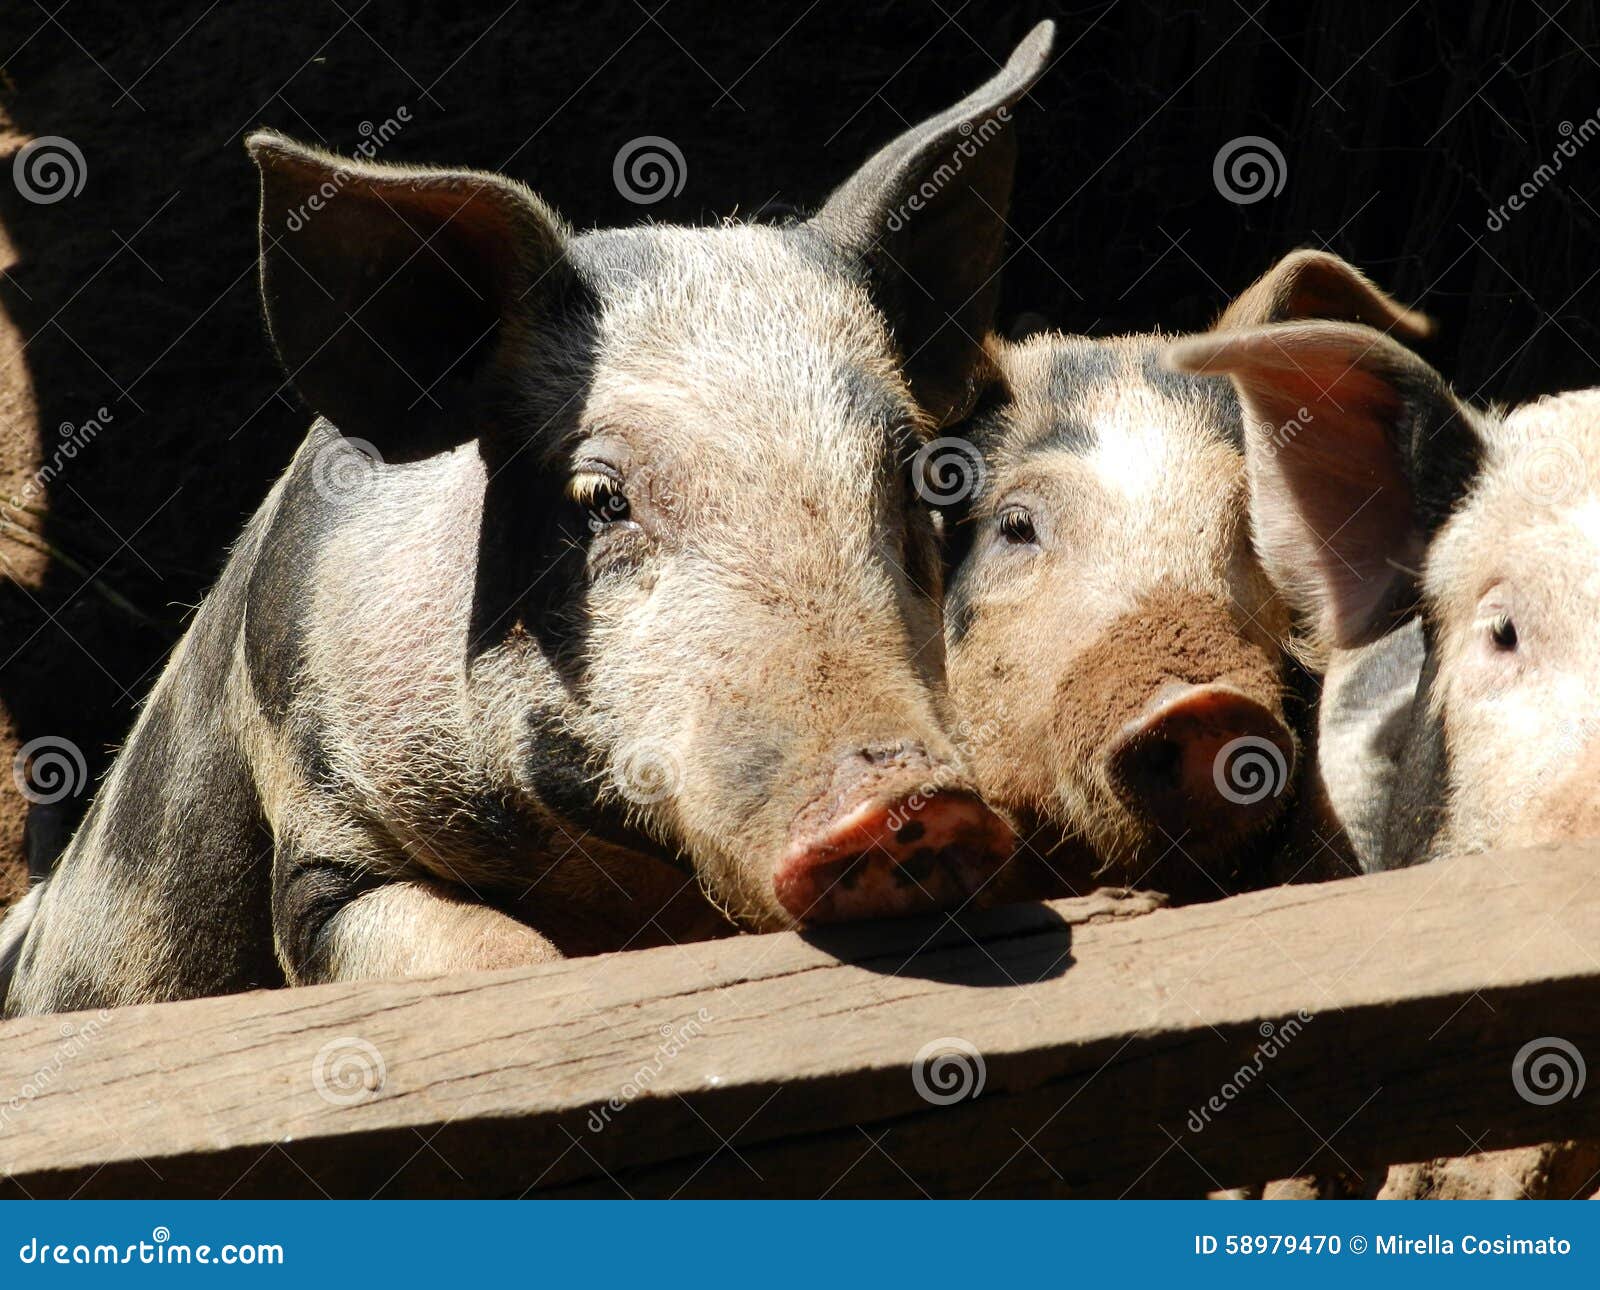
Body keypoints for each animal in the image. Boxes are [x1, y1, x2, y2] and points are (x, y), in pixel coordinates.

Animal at [0, 23, 1055, 1016]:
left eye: (910, 479)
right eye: (599, 499)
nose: (913, 798)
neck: (613, 877)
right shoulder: (320, 837)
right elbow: (487, 955)